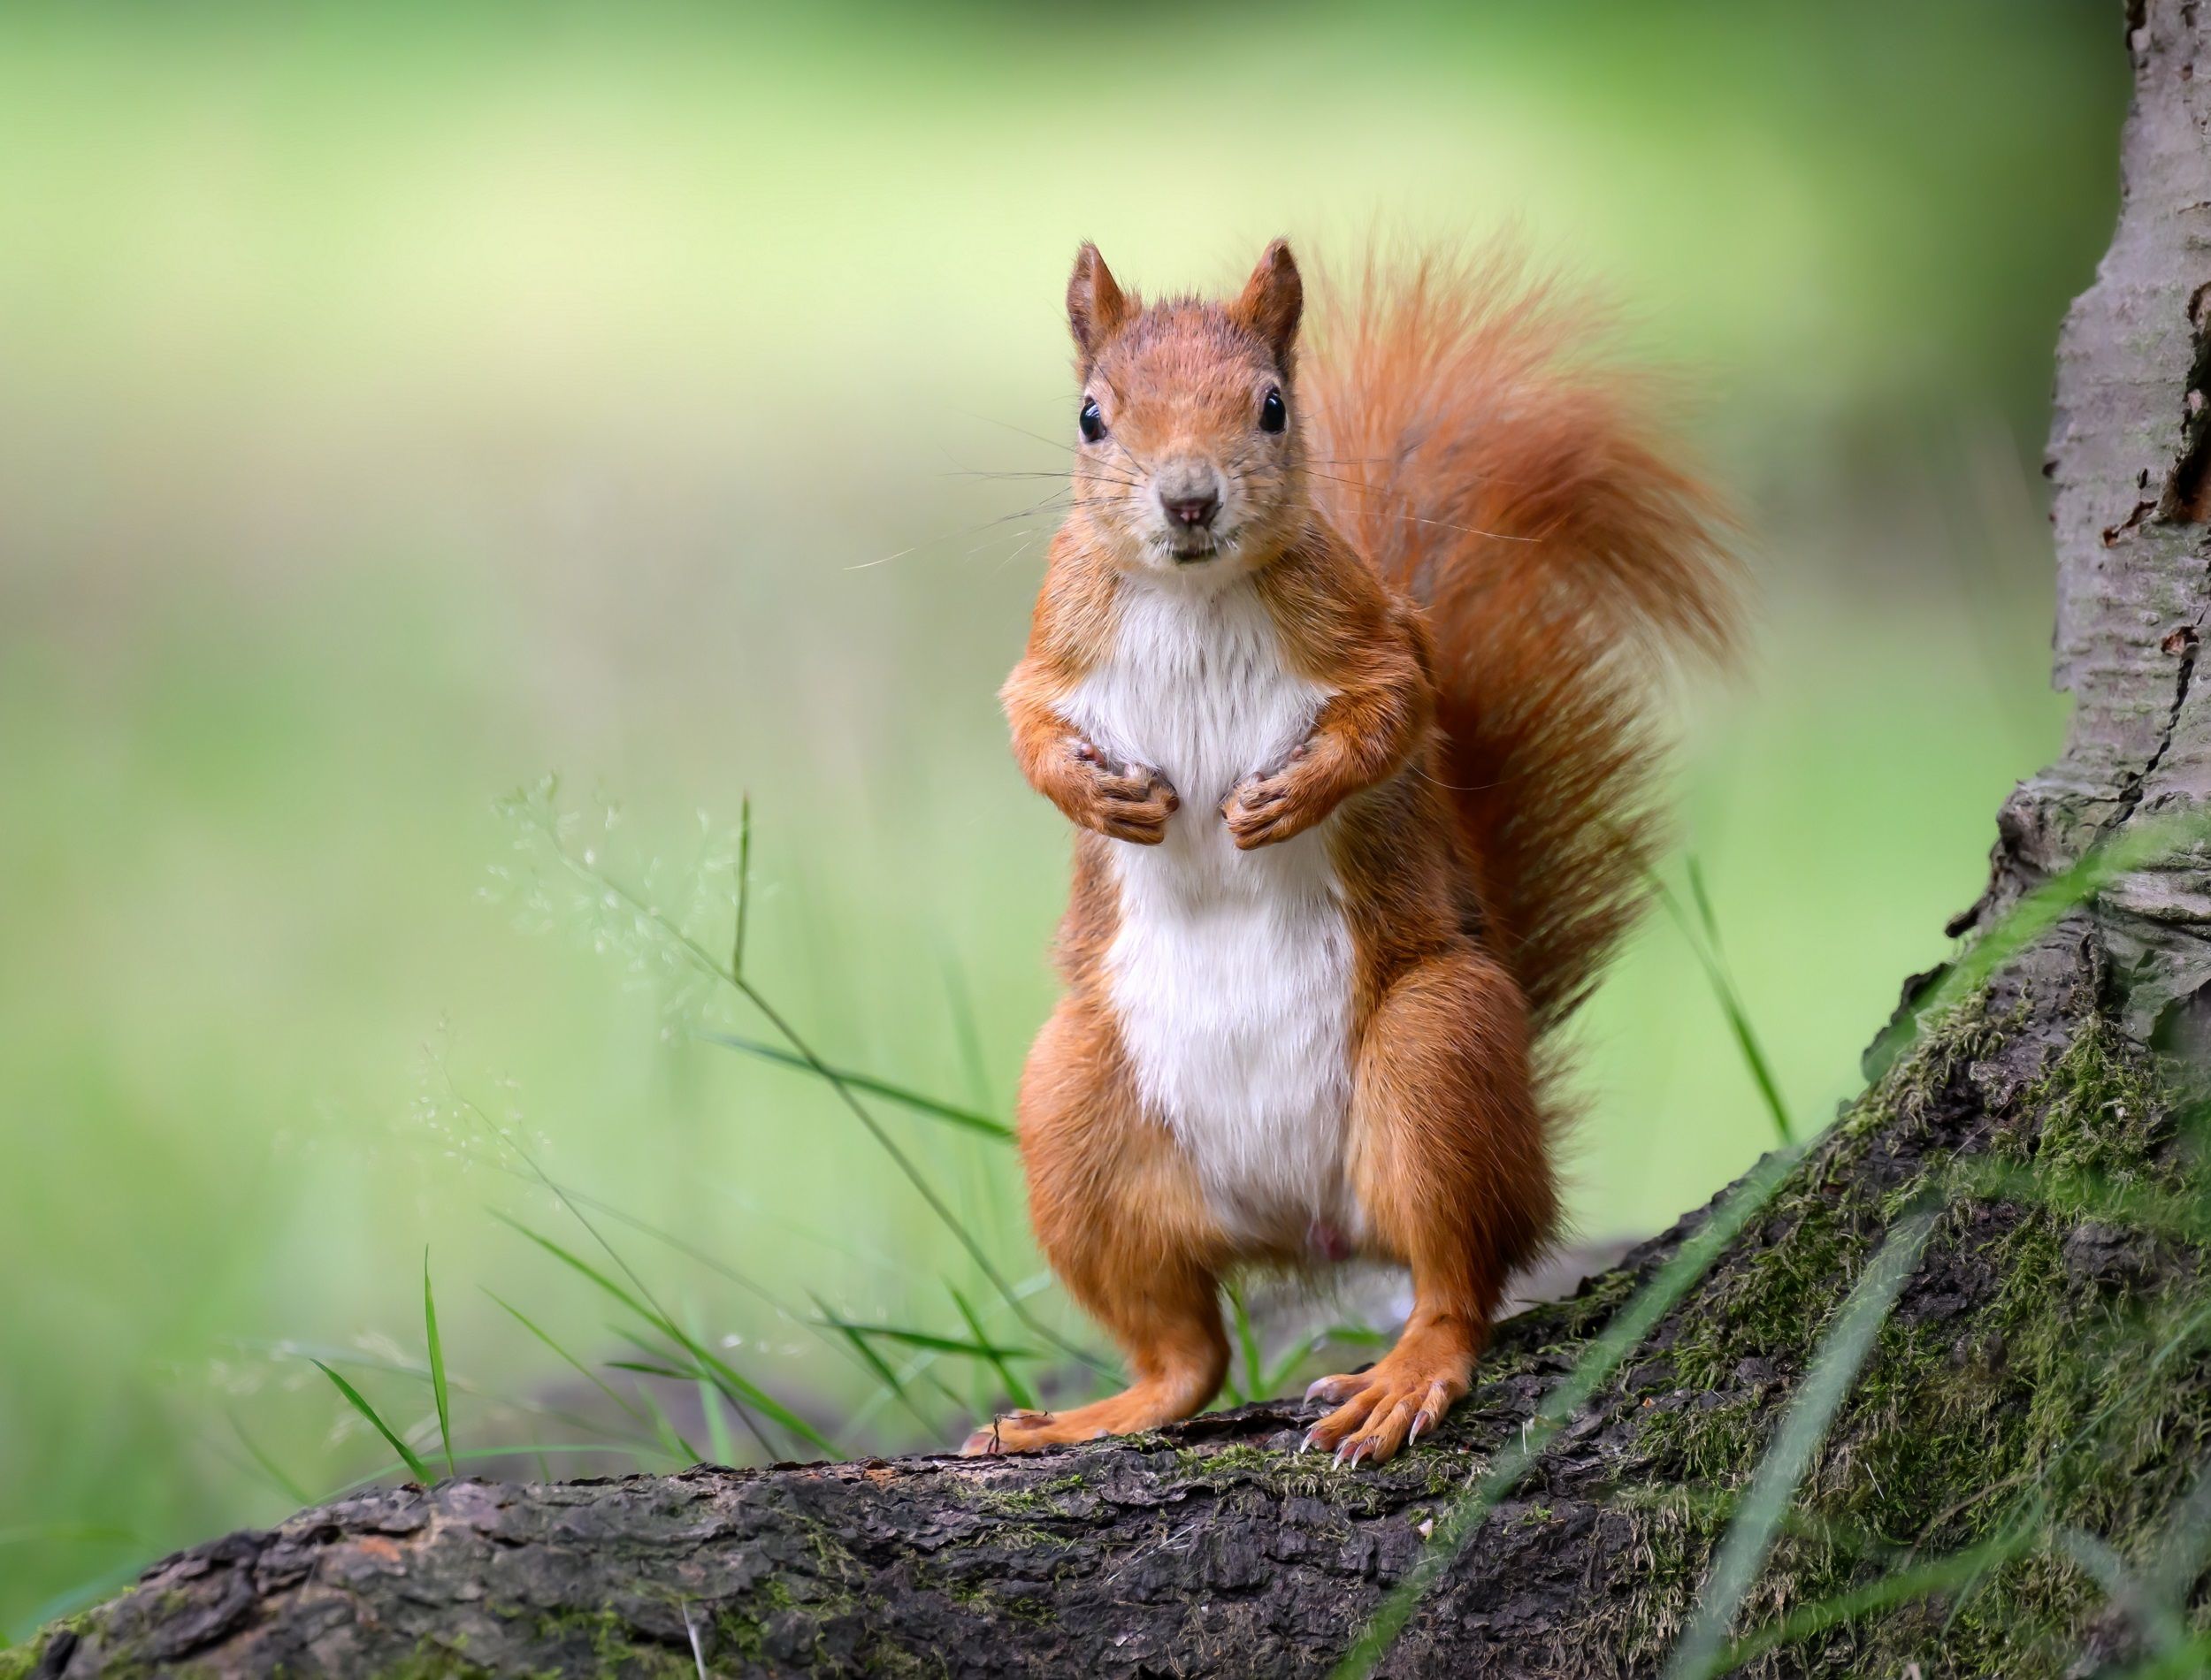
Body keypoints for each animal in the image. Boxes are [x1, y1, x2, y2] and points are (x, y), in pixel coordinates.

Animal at [968, 238, 1738, 1468]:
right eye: (1091, 416)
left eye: (1273, 408)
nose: (1189, 497)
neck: (1194, 594)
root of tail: (1308, 1227)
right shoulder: (1052, 641)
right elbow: (1027, 726)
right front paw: (1098, 795)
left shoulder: (1376, 634)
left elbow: (1393, 711)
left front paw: (1289, 798)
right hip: (1073, 1112)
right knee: (1183, 1352)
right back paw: (1093, 1415)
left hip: (1436, 1055)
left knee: (1457, 1282)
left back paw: (1405, 1375)